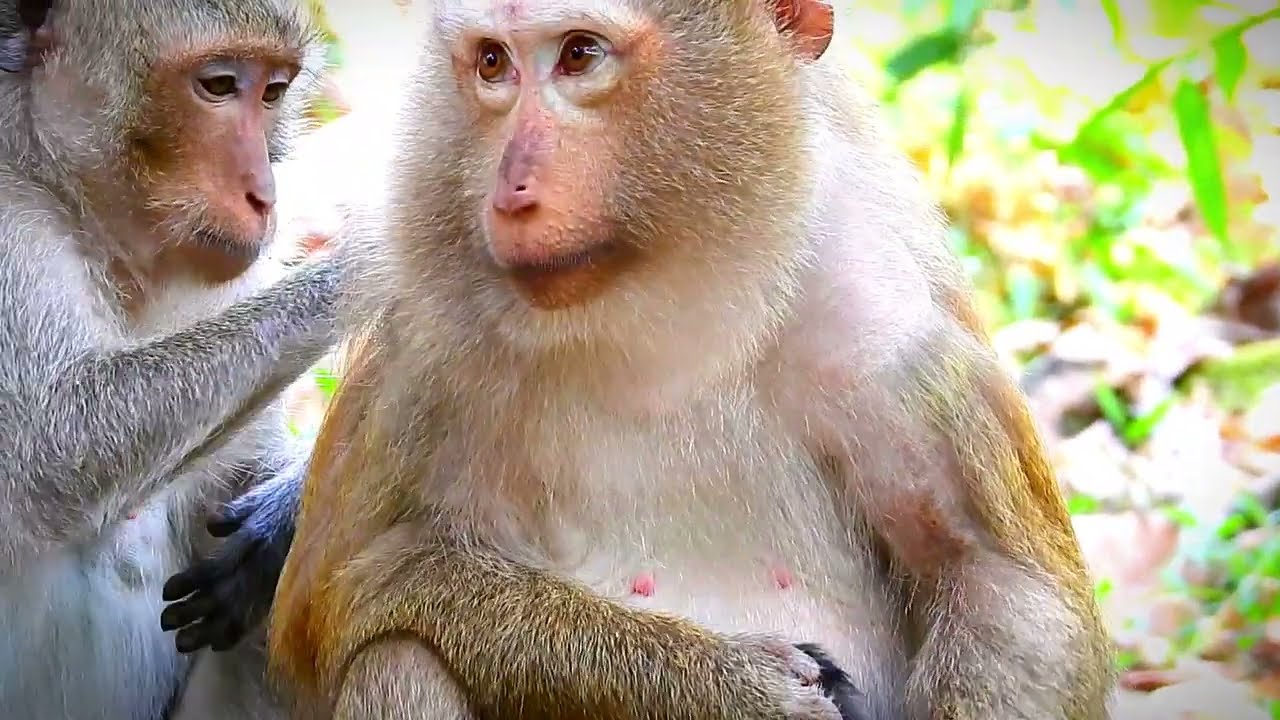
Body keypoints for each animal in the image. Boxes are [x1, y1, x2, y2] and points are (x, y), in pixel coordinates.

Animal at [0, 0, 341, 718]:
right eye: (218, 85)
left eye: (273, 92)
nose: (265, 194)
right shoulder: (7, 227)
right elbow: (51, 445)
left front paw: (279, 515)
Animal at [164, 0, 1117, 718]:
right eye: (493, 64)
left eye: (580, 55)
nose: (509, 186)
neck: (662, 316)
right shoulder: (424, 317)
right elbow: (349, 582)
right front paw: (740, 690)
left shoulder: (884, 319)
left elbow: (1002, 587)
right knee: (403, 655)